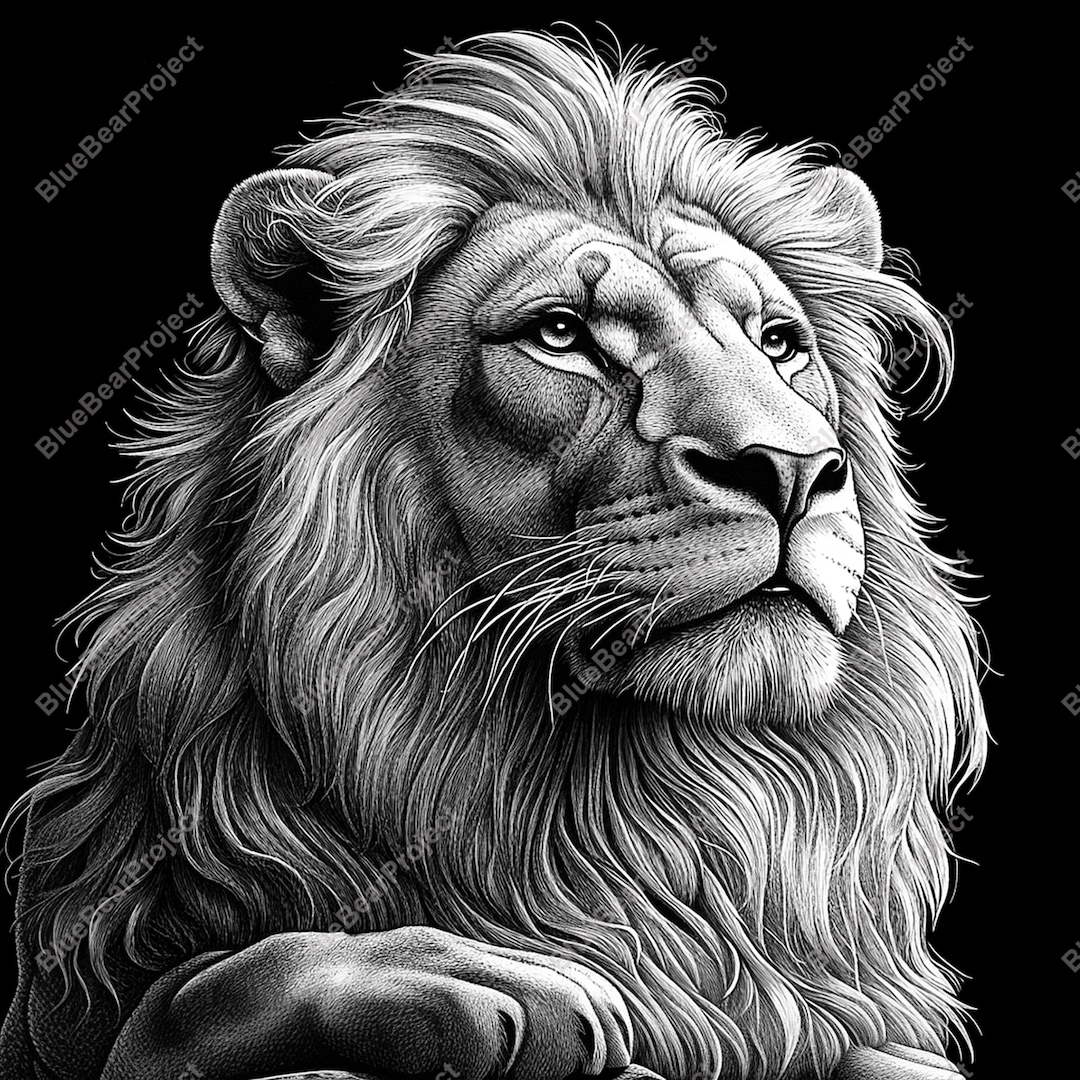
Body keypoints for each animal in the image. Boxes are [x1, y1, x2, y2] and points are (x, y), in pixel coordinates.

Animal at [2, 30, 987, 1080]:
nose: (794, 468)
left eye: (778, 342)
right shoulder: (67, 1018)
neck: (614, 795)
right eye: (560, 334)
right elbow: (205, 986)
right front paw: (482, 979)